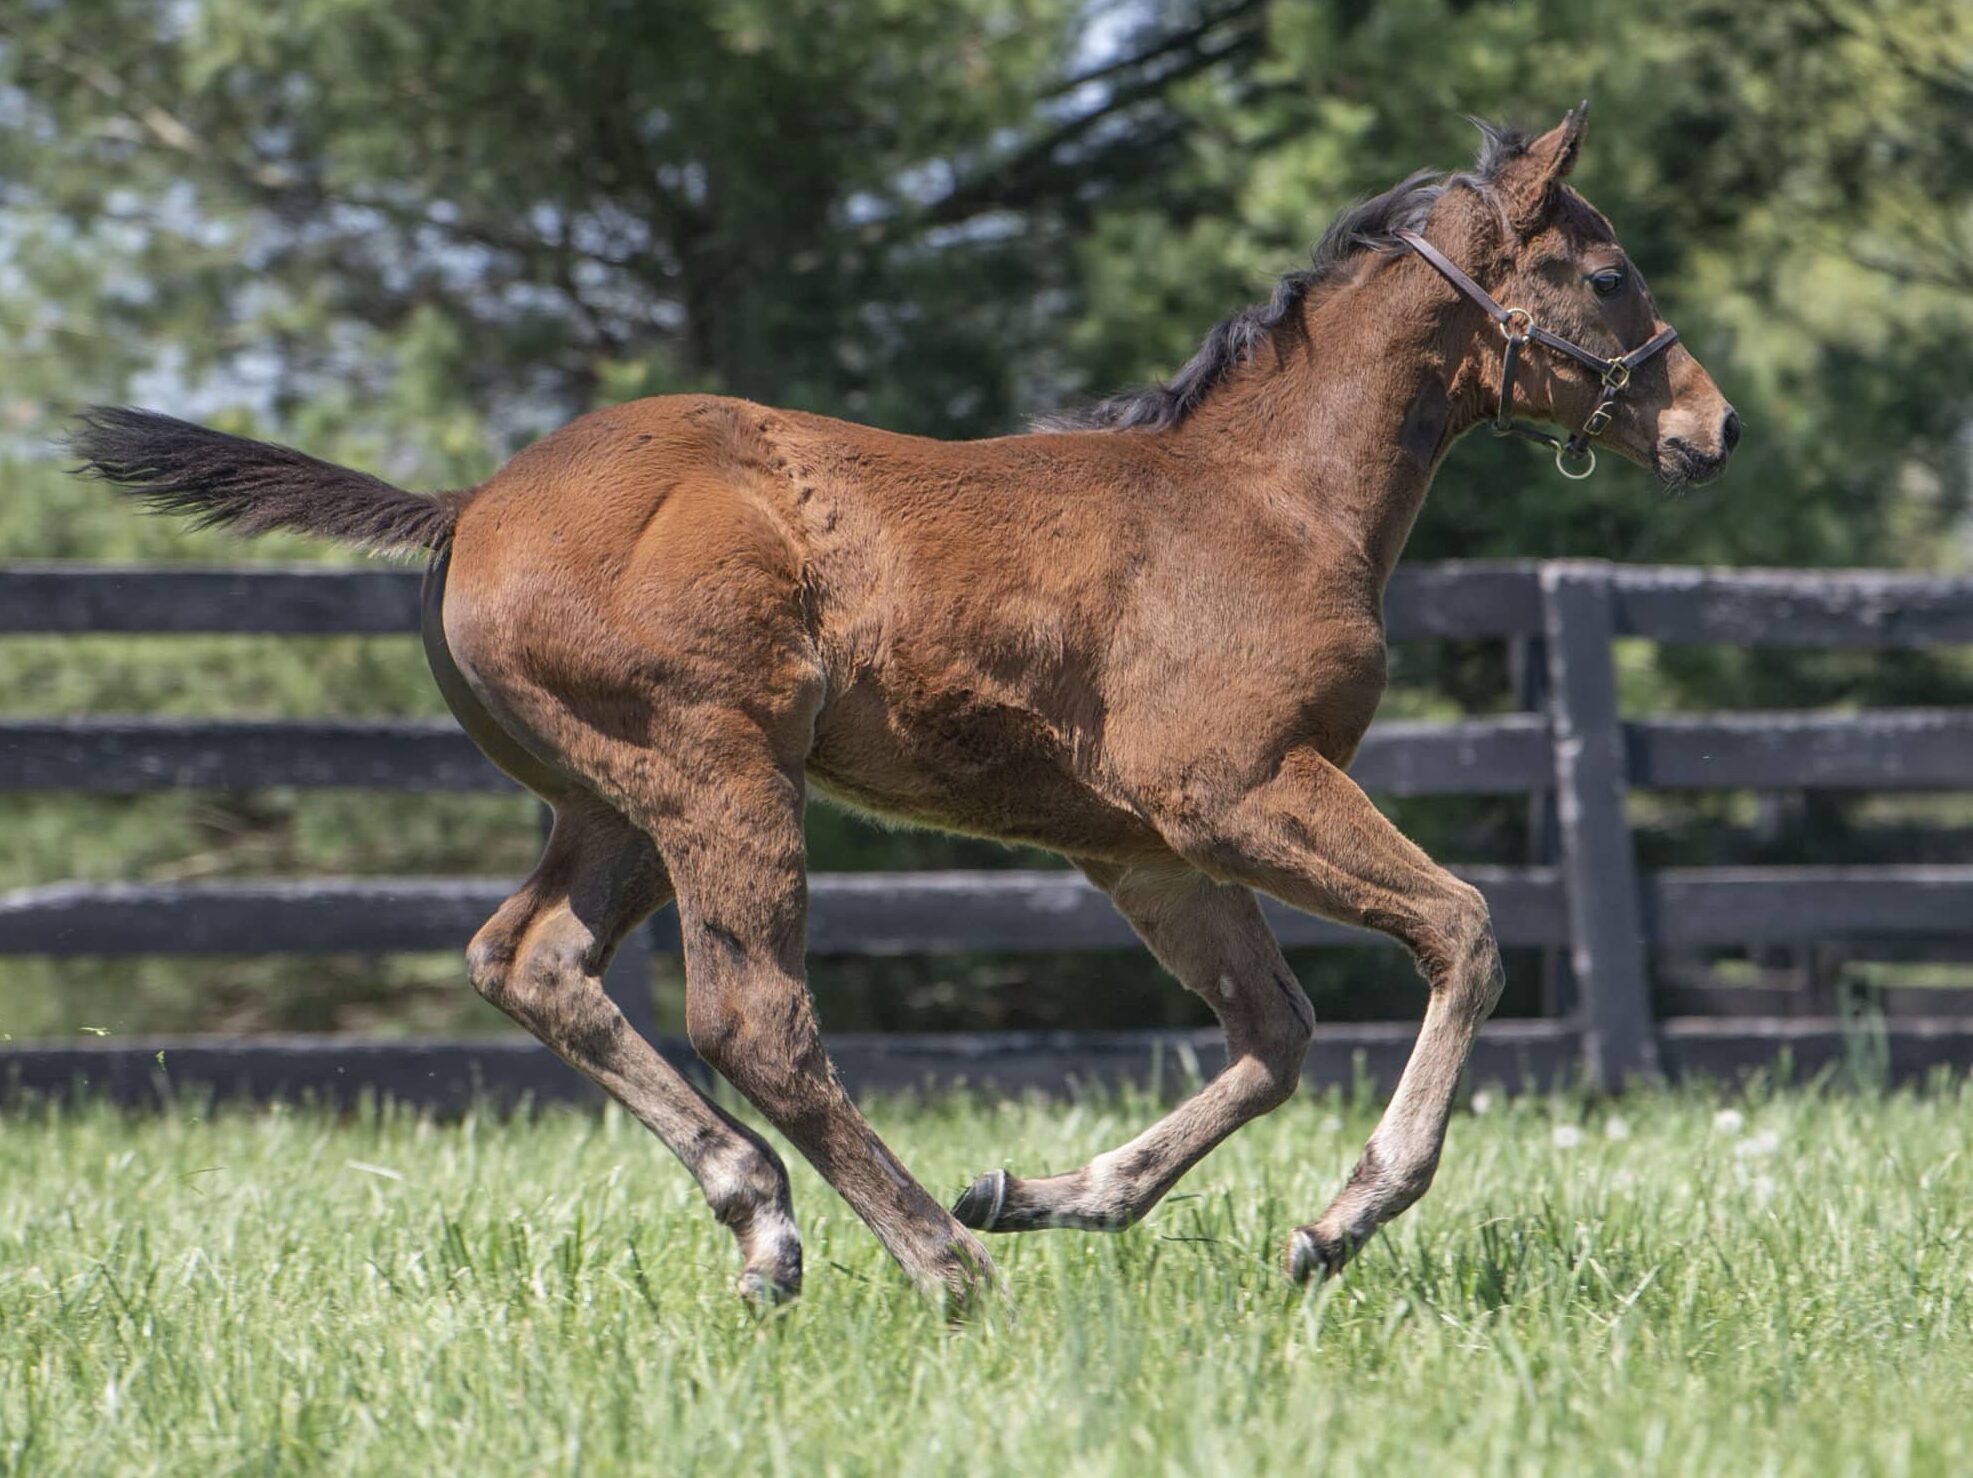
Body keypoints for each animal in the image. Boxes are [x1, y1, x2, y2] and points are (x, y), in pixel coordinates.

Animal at [71, 104, 1736, 1307]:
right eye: (1607, 277)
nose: (1707, 427)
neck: (1265, 499)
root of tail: (470, 503)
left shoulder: (1144, 847)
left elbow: (1271, 1029)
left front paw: (1057, 1189)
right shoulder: (1239, 788)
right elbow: (1463, 930)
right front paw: (1340, 1218)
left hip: (609, 803)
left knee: (527, 961)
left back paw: (770, 1223)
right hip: (719, 770)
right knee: (752, 1017)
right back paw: (940, 1258)